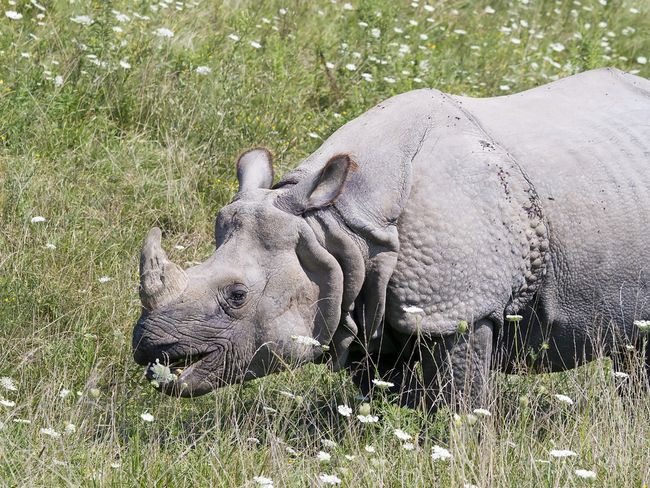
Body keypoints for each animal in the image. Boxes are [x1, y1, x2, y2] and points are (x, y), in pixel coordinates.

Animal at [132, 68, 650, 410]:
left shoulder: (461, 305)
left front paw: (454, 443)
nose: (149, 348)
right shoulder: (360, 291)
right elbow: (390, 391)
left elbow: (461, 396)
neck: (337, 224)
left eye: (238, 296)